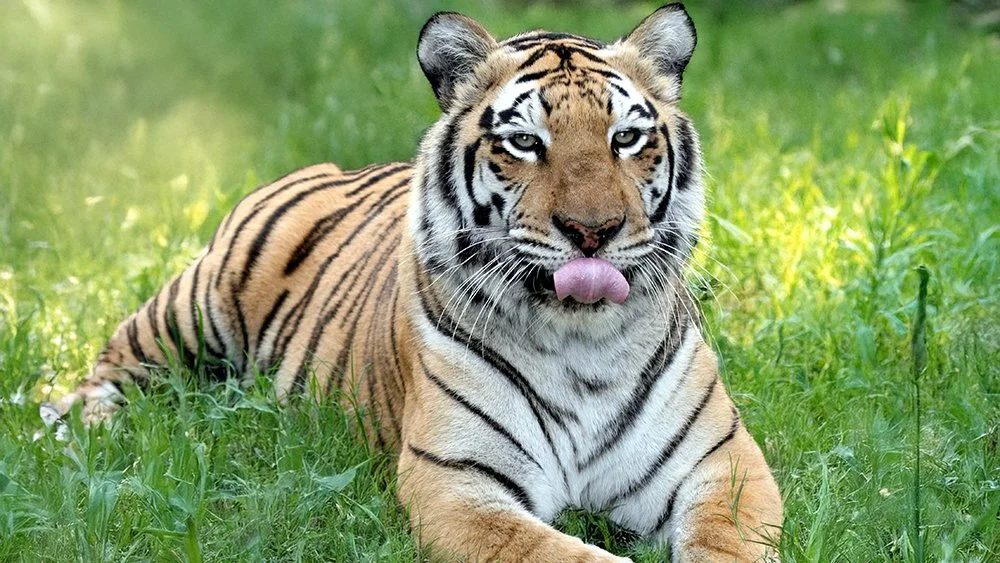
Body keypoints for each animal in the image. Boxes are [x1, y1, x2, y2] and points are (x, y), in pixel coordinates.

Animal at [51, 4, 783, 561]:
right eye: (525, 143)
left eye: (627, 138)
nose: (593, 231)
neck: (583, 345)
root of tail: (332, 167)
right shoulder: (458, 483)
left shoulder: (722, 463)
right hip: (193, 306)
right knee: (105, 371)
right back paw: (87, 434)